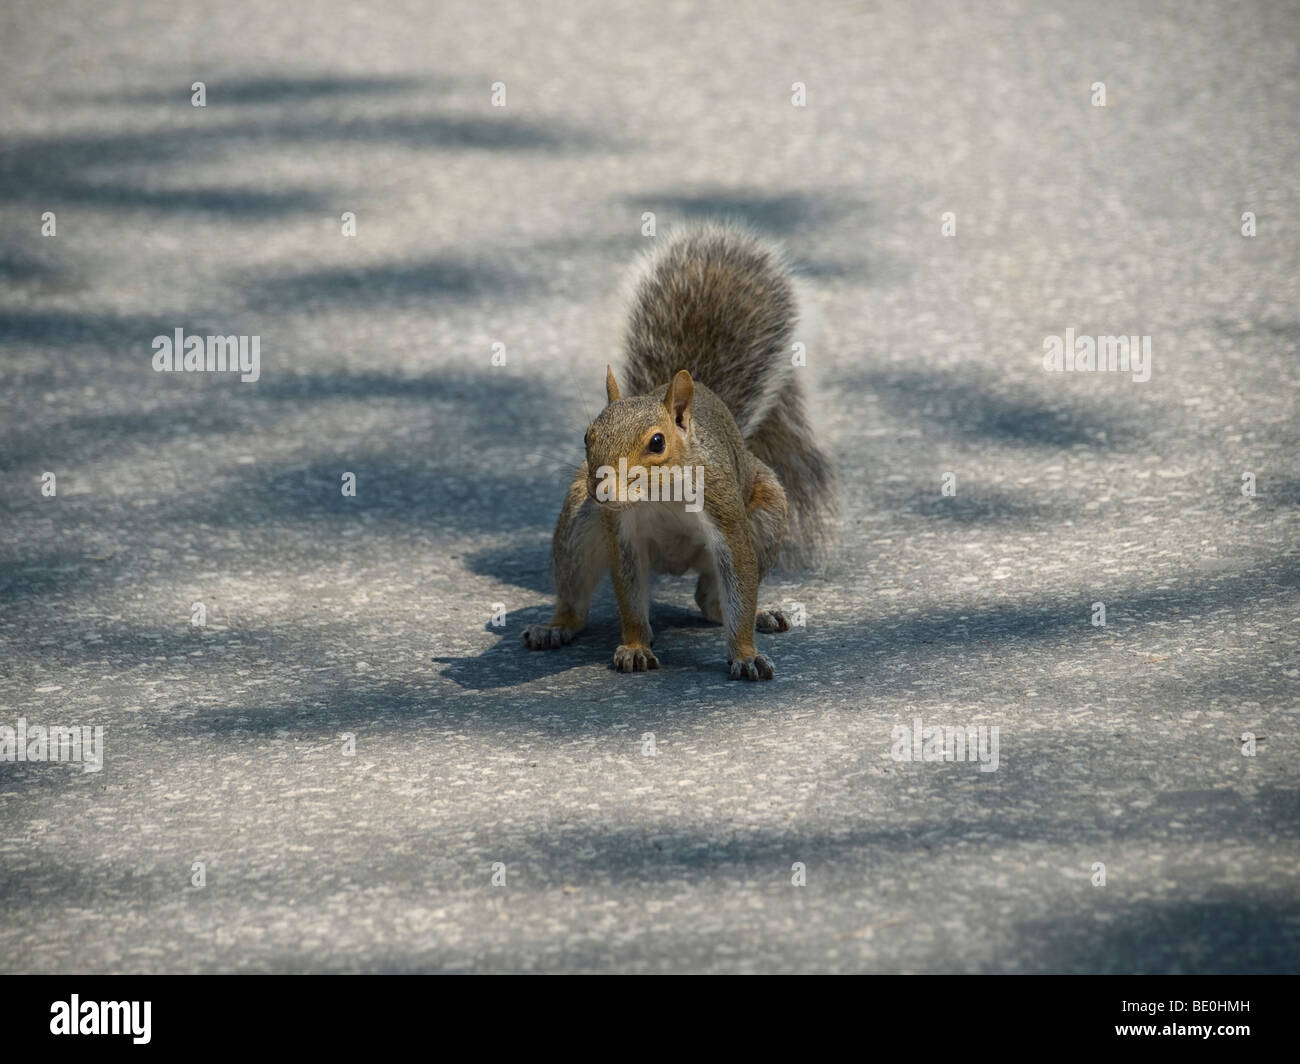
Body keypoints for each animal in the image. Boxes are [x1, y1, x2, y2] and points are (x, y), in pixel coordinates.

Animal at [521, 222, 836, 680]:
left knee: (714, 602)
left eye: (657, 442)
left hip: (766, 517)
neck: (660, 496)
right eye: (586, 436)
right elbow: (630, 597)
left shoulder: (725, 515)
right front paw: (635, 646)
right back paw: (554, 627)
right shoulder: (622, 533)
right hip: (578, 527)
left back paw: (761, 614)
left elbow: (739, 580)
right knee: (576, 599)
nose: (604, 491)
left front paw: (745, 655)